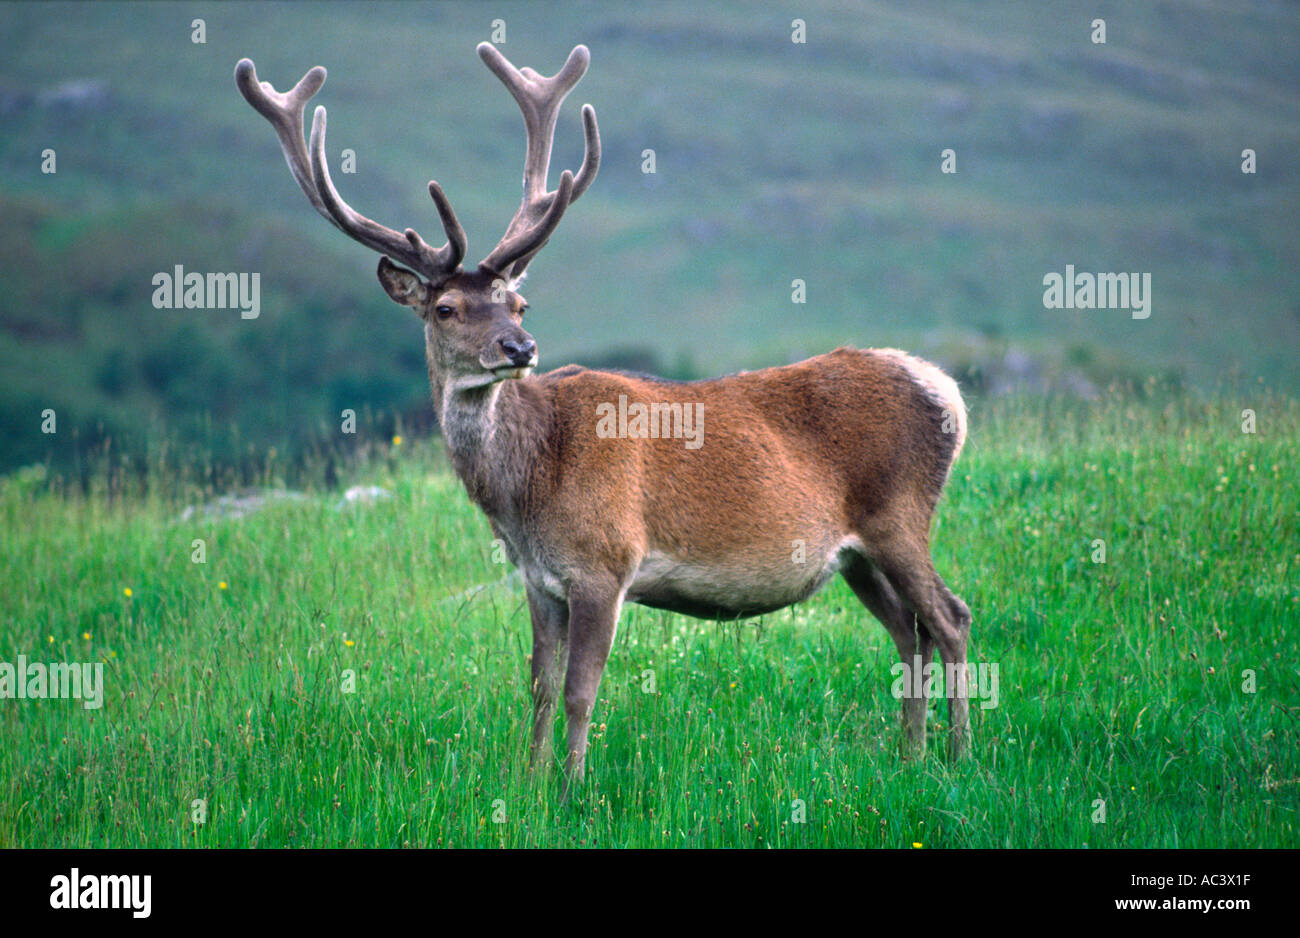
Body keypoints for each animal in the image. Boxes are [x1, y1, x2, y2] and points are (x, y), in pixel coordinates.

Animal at [234, 42, 973, 790]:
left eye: (519, 304)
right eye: (445, 308)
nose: (521, 348)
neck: (526, 490)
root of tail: (948, 391)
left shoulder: (605, 561)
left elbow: (579, 689)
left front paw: (572, 787)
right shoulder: (539, 579)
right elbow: (537, 682)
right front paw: (530, 782)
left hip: (899, 516)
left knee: (951, 618)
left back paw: (960, 756)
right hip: (855, 555)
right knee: (909, 632)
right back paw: (911, 756)